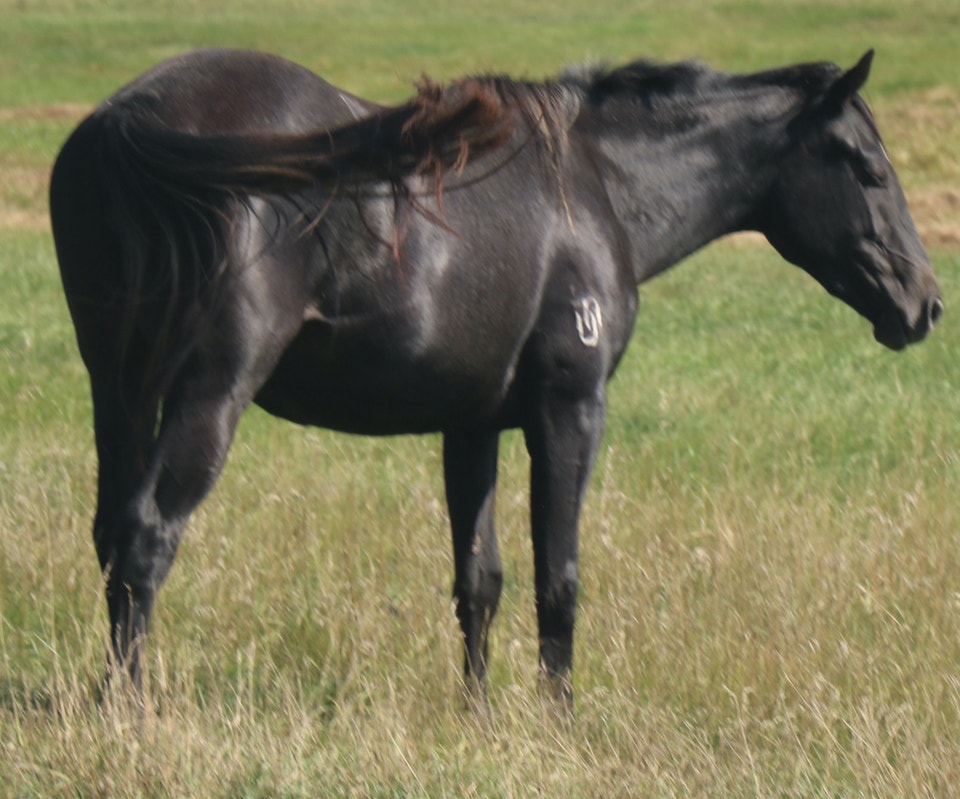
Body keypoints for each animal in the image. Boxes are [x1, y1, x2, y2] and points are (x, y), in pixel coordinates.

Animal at [50, 48, 941, 709]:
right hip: (208, 395)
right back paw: (128, 707)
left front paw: (476, 716)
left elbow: (479, 580)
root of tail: (133, 118)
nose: (926, 302)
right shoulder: (570, 411)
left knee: (112, 535)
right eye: (868, 167)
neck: (590, 186)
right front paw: (559, 719)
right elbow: (560, 578)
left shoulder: (470, 422)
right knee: (148, 538)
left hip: (116, 391)